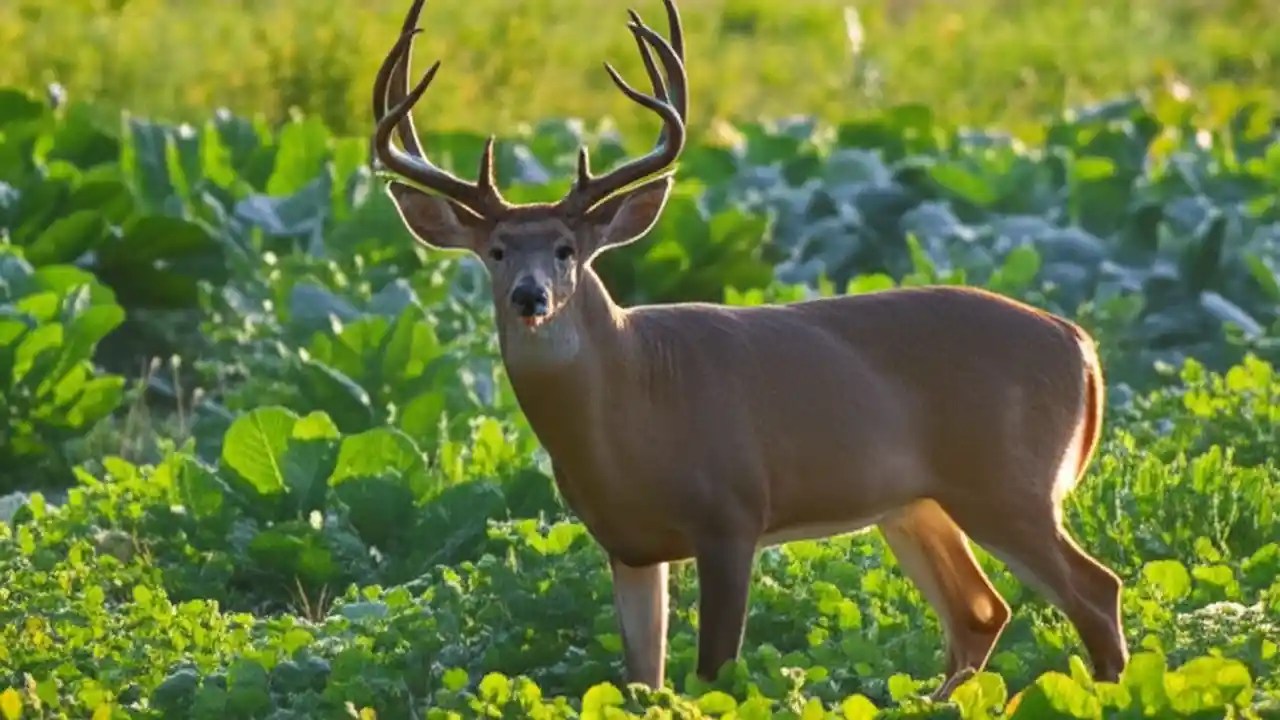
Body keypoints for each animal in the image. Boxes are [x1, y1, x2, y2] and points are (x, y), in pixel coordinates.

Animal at [369, 0, 1130, 701]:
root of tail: (1081, 343)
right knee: (979, 612)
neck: (634, 404)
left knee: (1095, 589)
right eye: (496, 251)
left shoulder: (732, 512)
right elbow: (642, 680)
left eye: (566, 249)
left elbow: (716, 673)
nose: (531, 297)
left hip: (1008, 483)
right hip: (917, 504)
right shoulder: (627, 545)